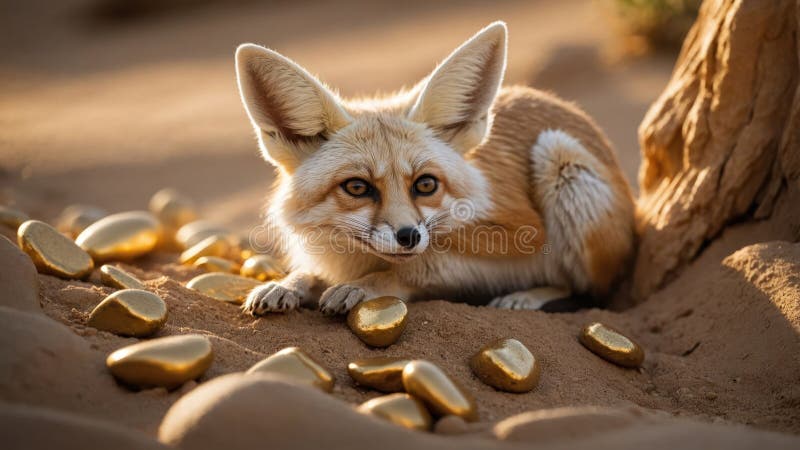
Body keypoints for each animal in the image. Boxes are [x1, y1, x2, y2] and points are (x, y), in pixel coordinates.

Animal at [235, 21, 635, 316]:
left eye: (426, 185)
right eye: (357, 187)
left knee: (587, 290)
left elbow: (410, 269)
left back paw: (527, 298)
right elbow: (308, 272)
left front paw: (365, 285)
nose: (409, 236)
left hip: (560, 157)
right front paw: (287, 283)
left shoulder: (516, 243)